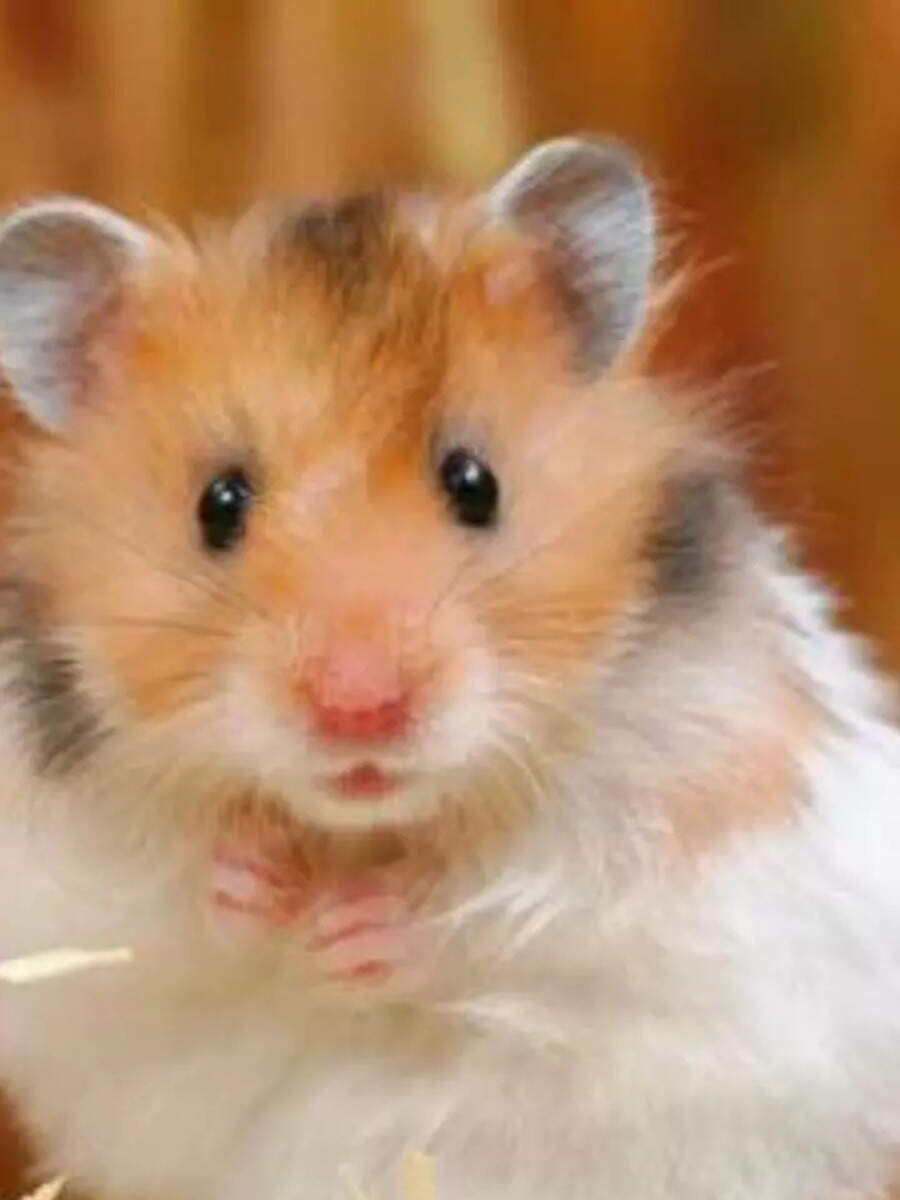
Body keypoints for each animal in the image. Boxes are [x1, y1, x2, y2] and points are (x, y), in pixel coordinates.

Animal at [0, 137, 898, 1200]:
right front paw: (262, 887)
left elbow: (527, 912)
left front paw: (355, 928)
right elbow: (166, 901)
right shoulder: (59, 887)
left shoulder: (685, 831)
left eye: (475, 483)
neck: (364, 829)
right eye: (218, 504)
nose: (358, 708)